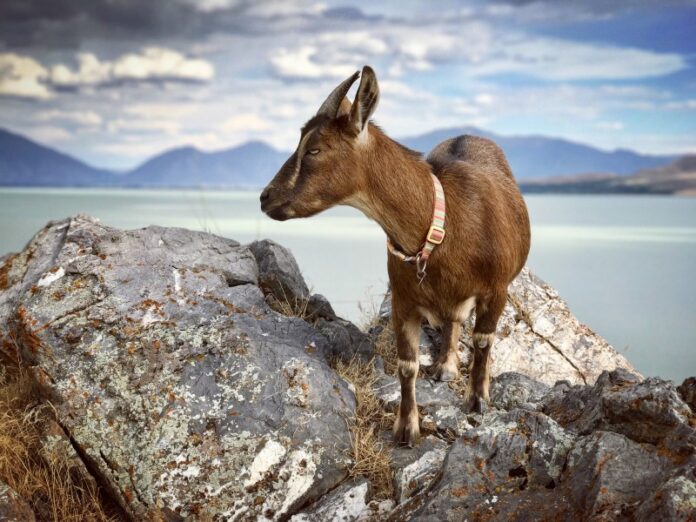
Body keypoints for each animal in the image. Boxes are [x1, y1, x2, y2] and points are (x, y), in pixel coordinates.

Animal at [260, 66, 530, 446]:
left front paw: (478, 399)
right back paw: (445, 366)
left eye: (313, 149)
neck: (443, 223)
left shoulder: (497, 289)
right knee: (453, 320)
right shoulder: (404, 299)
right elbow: (407, 365)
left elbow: (482, 341)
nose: (265, 197)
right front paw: (406, 427)